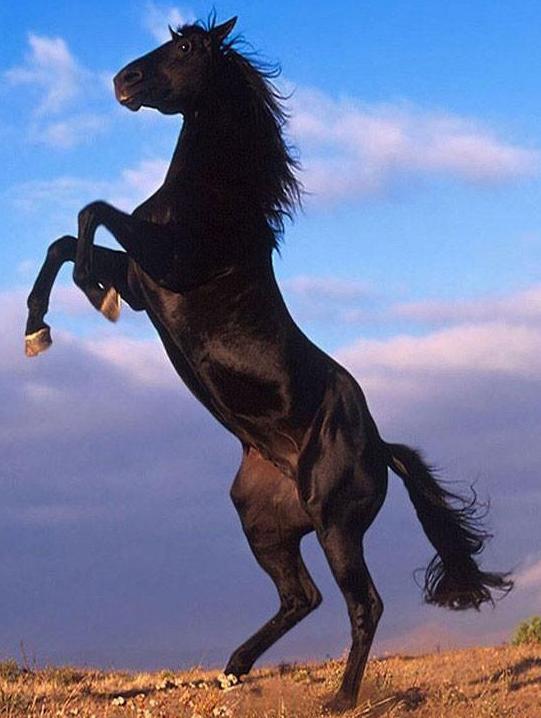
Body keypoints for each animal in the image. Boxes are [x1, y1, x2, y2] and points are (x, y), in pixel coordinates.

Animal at [24, 15, 512, 712]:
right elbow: (64, 240)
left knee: (363, 604)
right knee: (300, 597)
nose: (123, 81)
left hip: (336, 526)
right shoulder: (146, 282)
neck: (213, 199)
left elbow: (91, 215)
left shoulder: (166, 264)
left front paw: (91, 293)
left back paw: (339, 697)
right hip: (265, 523)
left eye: (185, 47)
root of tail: (381, 447)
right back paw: (233, 668)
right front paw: (38, 327)